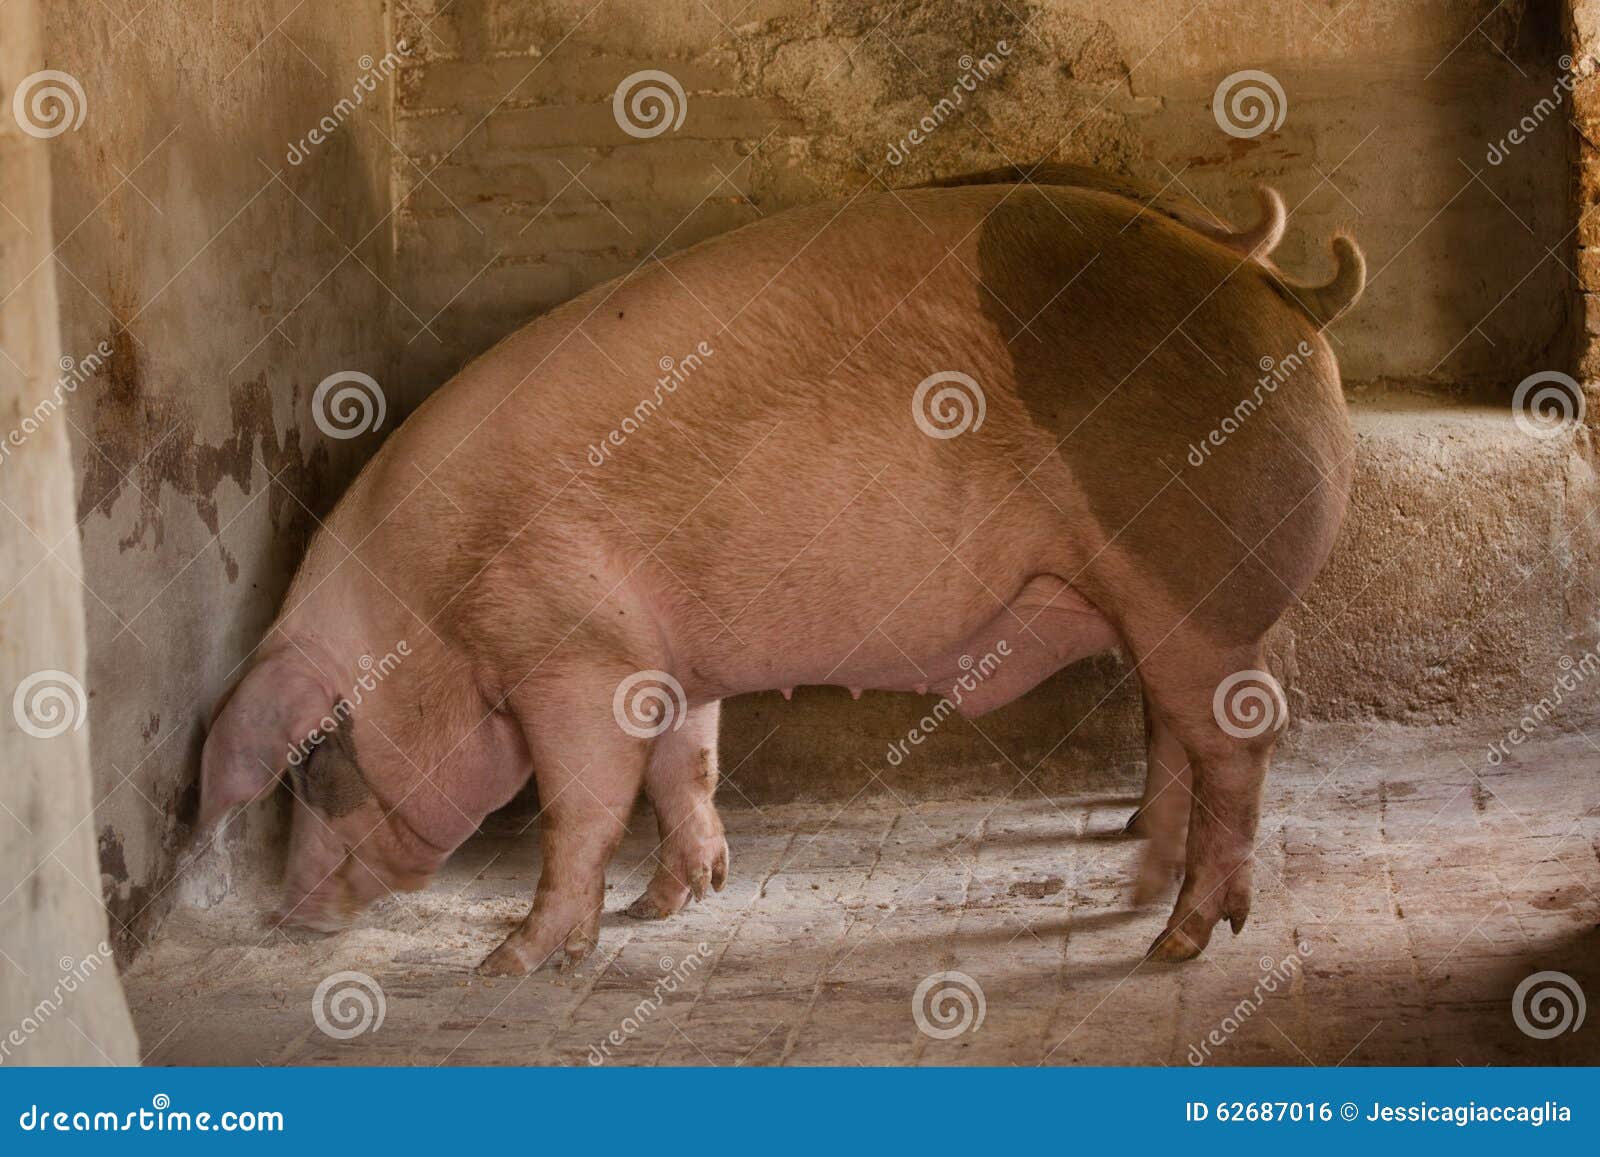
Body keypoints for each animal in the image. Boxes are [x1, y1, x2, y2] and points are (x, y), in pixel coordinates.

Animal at [199, 178, 1363, 975]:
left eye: (314, 761)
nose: (287, 913)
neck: (427, 605)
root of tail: (1277, 289)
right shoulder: (664, 659)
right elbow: (687, 769)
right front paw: (673, 903)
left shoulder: (570, 648)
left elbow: (585, 806)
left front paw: (510, 963)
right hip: (1155, 608)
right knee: (1179, 734)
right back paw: (1144, 876)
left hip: (1192, 588)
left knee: (1241, 737)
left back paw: (1179, 938)